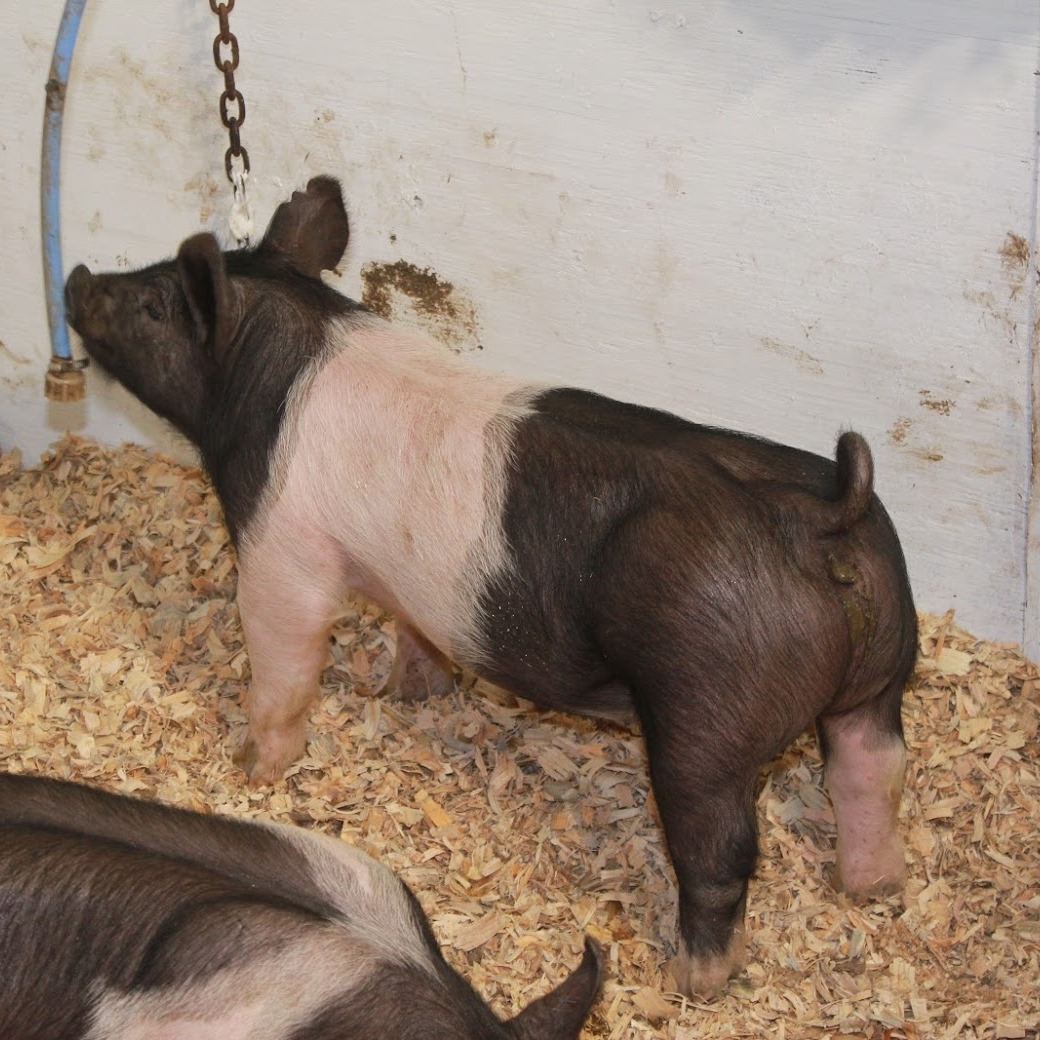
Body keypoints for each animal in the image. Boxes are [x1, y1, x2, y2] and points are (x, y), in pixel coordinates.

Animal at [64, 176, 918, 998]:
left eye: (154, 303)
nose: (76, 277)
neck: (273, 365)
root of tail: (819, 513)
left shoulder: (282, 549)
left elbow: (283, 661)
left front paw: (252, 768)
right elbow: (414, 631)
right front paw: (410, 692)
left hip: (708, 706)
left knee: (722, 851)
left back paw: (694, 980)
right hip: (885, 655)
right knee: (873, 766)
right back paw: (871, 886)